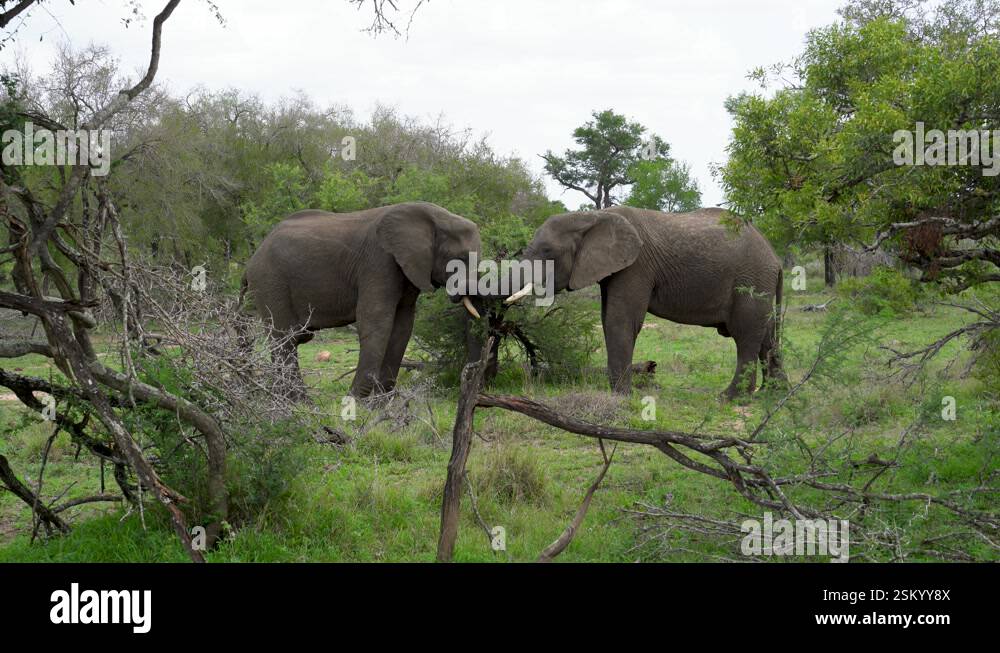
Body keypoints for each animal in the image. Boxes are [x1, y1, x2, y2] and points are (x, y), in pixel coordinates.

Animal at [243, 202, 482, 398]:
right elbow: (376, 321)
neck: (435, 216)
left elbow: (403, 326)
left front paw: (380, 403)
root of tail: (252, 258)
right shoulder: (378, 262)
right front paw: (355, 401)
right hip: (270, 282)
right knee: (285, 338)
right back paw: (298, 402)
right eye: (459, 259)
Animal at [508, 206, 786, 398]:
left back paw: (729, 398)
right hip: (760, 284)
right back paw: (774, 394)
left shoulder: (636, 266)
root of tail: (776, 258)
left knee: (746, 334)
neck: (593, 216)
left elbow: (620, 321)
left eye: (547, 251)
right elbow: (608, 318)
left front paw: (621, 397)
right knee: (766, 336)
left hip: (751, 280)